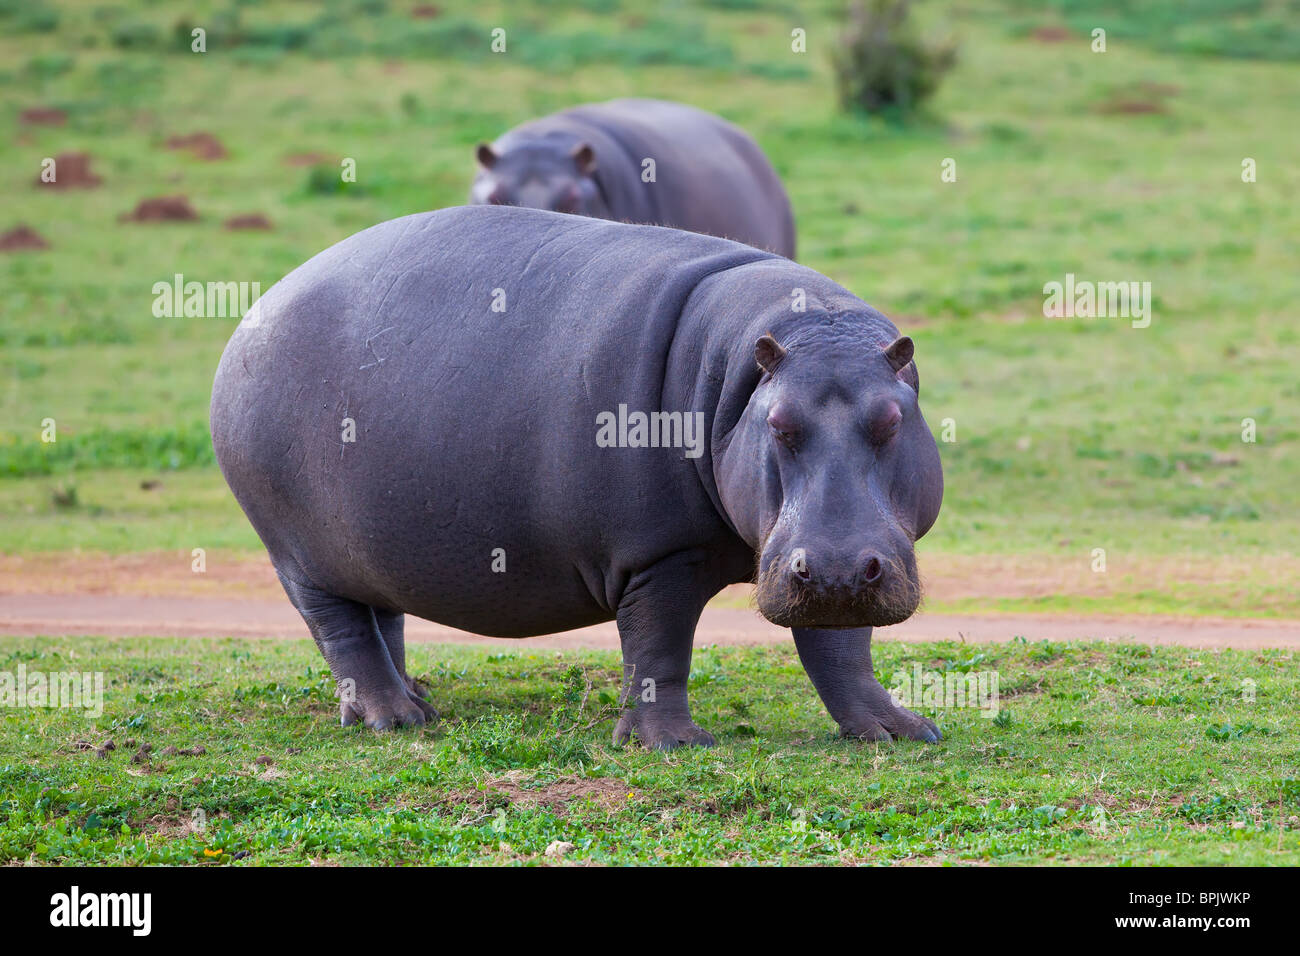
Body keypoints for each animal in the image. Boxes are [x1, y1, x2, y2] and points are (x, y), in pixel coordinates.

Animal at [210, 206, 943, 748]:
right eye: (779, 424)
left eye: (892, 419)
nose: (837, 569)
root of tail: (255, 311)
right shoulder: (659, 553)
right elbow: (658, 647)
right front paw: (673, 744)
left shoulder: (834, 563)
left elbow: (841, 650)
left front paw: (900, 731)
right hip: (298, 553)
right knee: (341, 631)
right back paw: (397, 720)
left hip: (368, 539)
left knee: (379, 612)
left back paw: (419, 697)